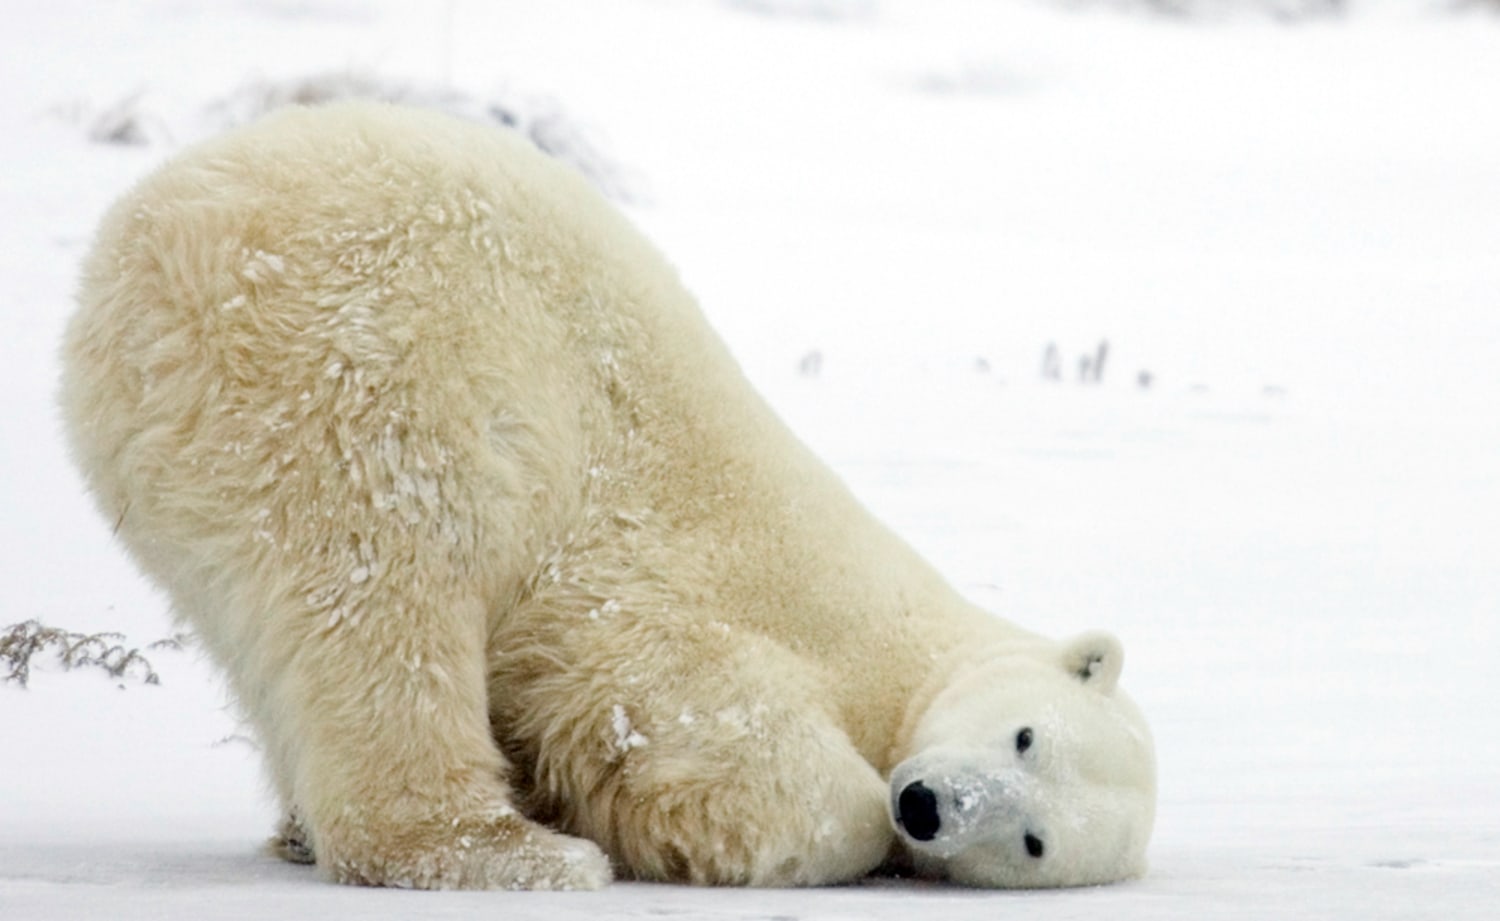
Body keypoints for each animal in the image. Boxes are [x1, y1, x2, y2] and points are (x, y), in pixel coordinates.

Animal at [59, 101, 1155, 890]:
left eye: (1034, 838)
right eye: (1023, 733)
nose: (928, 806)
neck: (900, 658)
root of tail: (144, 251)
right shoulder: (709, 597)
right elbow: (722, 731)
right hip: (360, 375)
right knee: (391, 602)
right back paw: (507, 851)